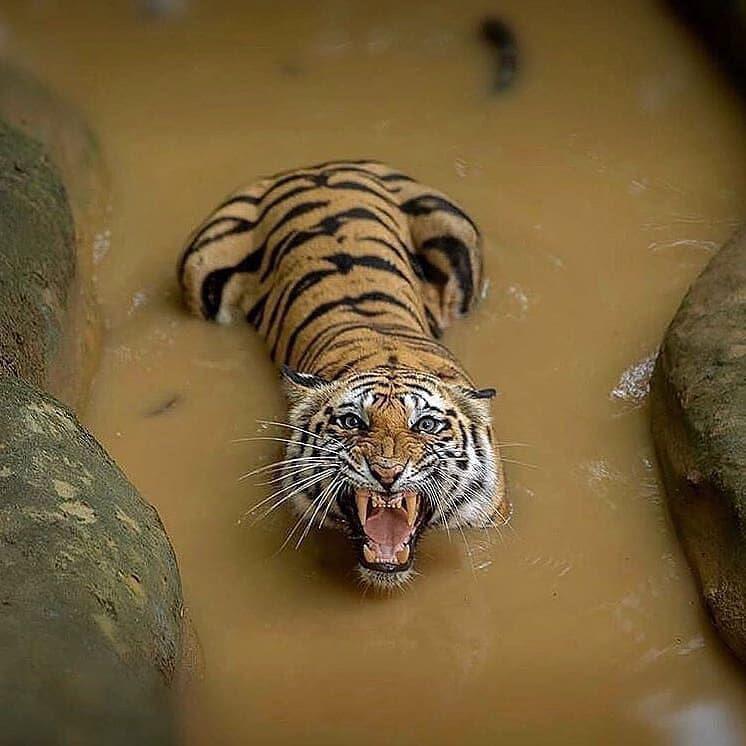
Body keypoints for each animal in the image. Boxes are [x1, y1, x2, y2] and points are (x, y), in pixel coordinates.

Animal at [178, 159, 509, 589]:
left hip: (456, 233)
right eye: (352, 422)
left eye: (426, 425)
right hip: (199, 267)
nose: (387, 474)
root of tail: (316, 167)